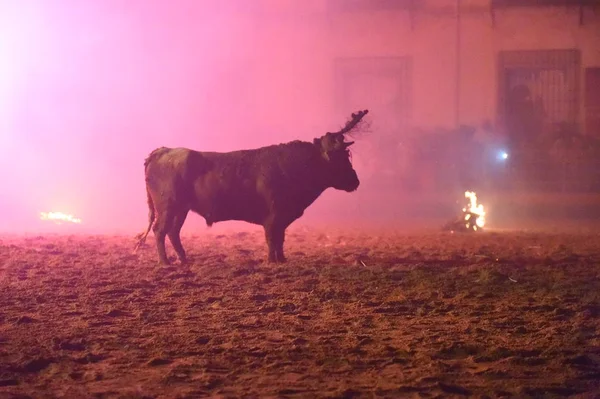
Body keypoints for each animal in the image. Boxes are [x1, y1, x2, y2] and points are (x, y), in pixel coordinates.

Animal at [135, 110, 368, 266]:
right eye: (340, 158)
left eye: (347, 155)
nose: (355, 181)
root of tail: (162, 150)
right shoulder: (273, 216)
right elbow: (272, 238)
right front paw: (272, 261)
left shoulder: (282, 218)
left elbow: (280, 239)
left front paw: (282, 259)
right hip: (168, 207)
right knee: (160, 231)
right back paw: (165, 262)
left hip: (180, 209)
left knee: (173, 232)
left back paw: (183, 259)